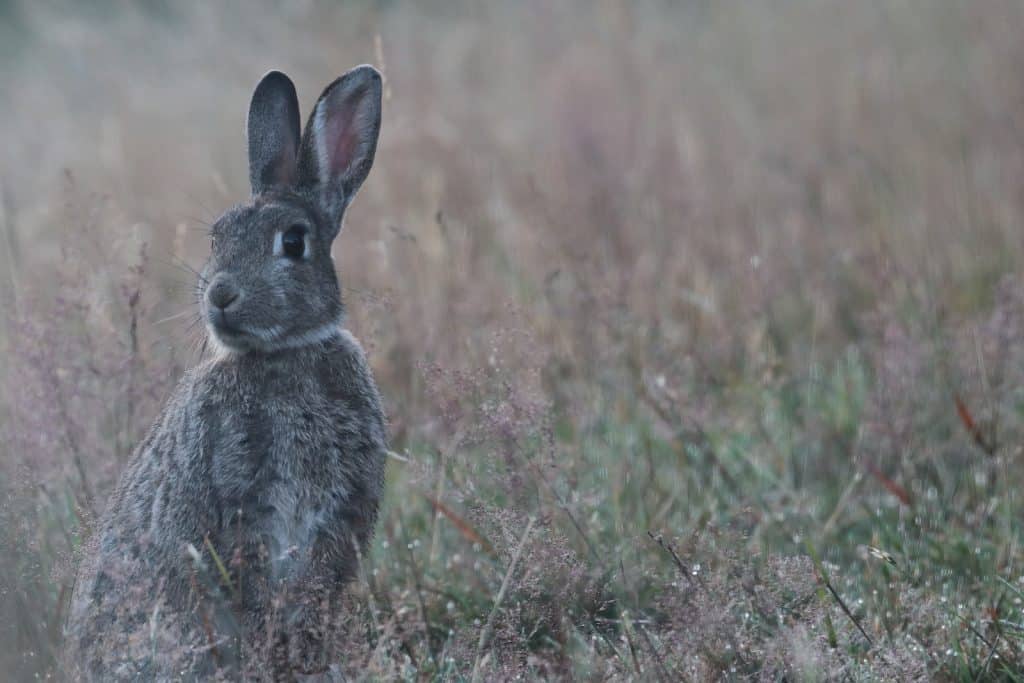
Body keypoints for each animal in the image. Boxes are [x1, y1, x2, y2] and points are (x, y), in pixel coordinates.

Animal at [64, 66, 388, 681]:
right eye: (217, 235)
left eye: (293, 241)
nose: (219, 295)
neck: (284, 354)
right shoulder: (238, 509)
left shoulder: (335, 520)